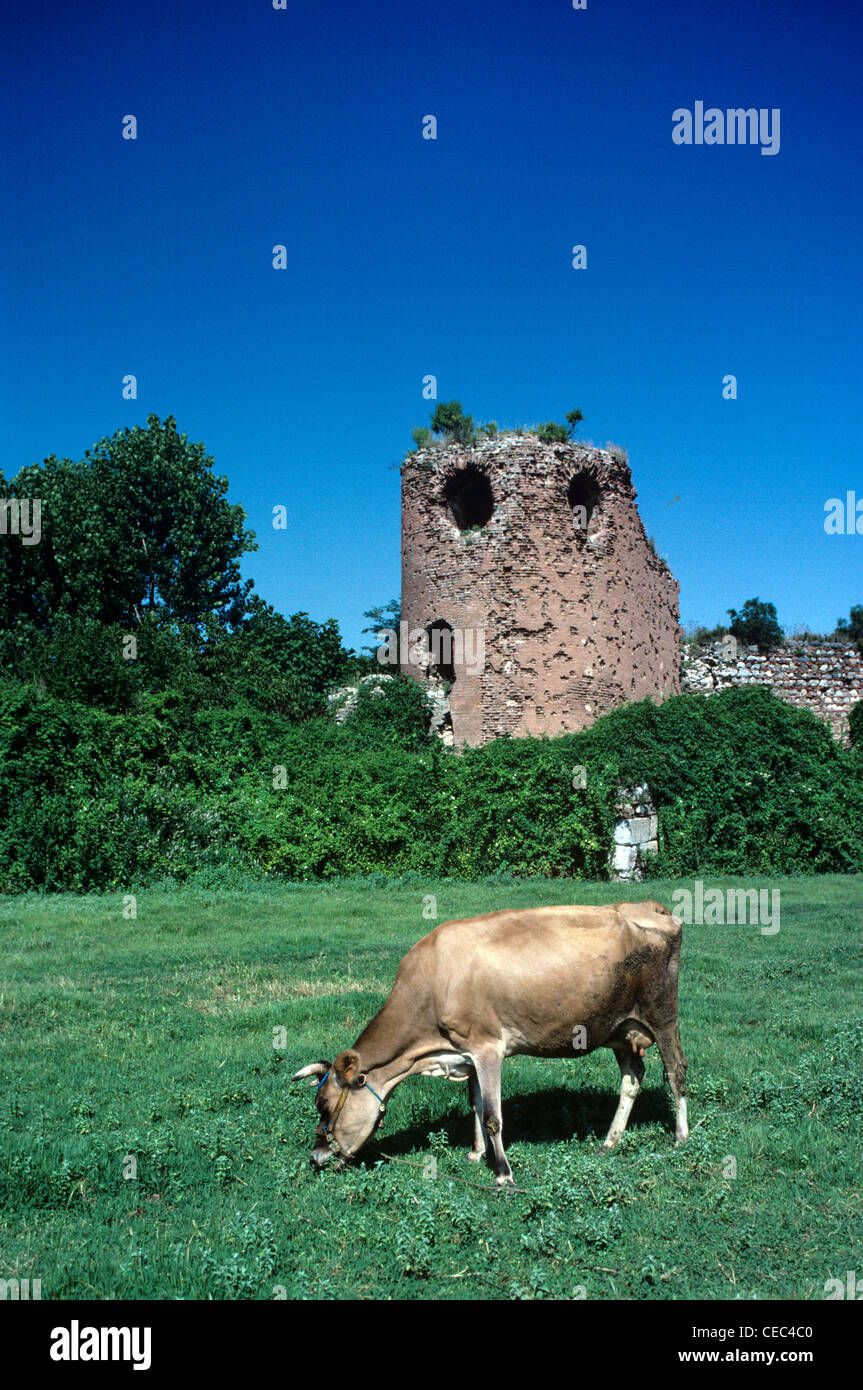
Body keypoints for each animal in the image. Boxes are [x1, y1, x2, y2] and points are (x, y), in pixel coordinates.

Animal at [292, 900, 688, 1187]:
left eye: (323, 1105)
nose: (315, 1158)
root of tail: (652, 907)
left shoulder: (488, 1048)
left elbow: (493, 1115)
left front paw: (503, 1174)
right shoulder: (465, 1052)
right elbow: (476, 1102)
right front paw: (477, 1154)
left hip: (662, 1013)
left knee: (676, 1073)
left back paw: (681, 1138)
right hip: (619, 1029)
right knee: (632, 1078)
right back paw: (610, 1141)